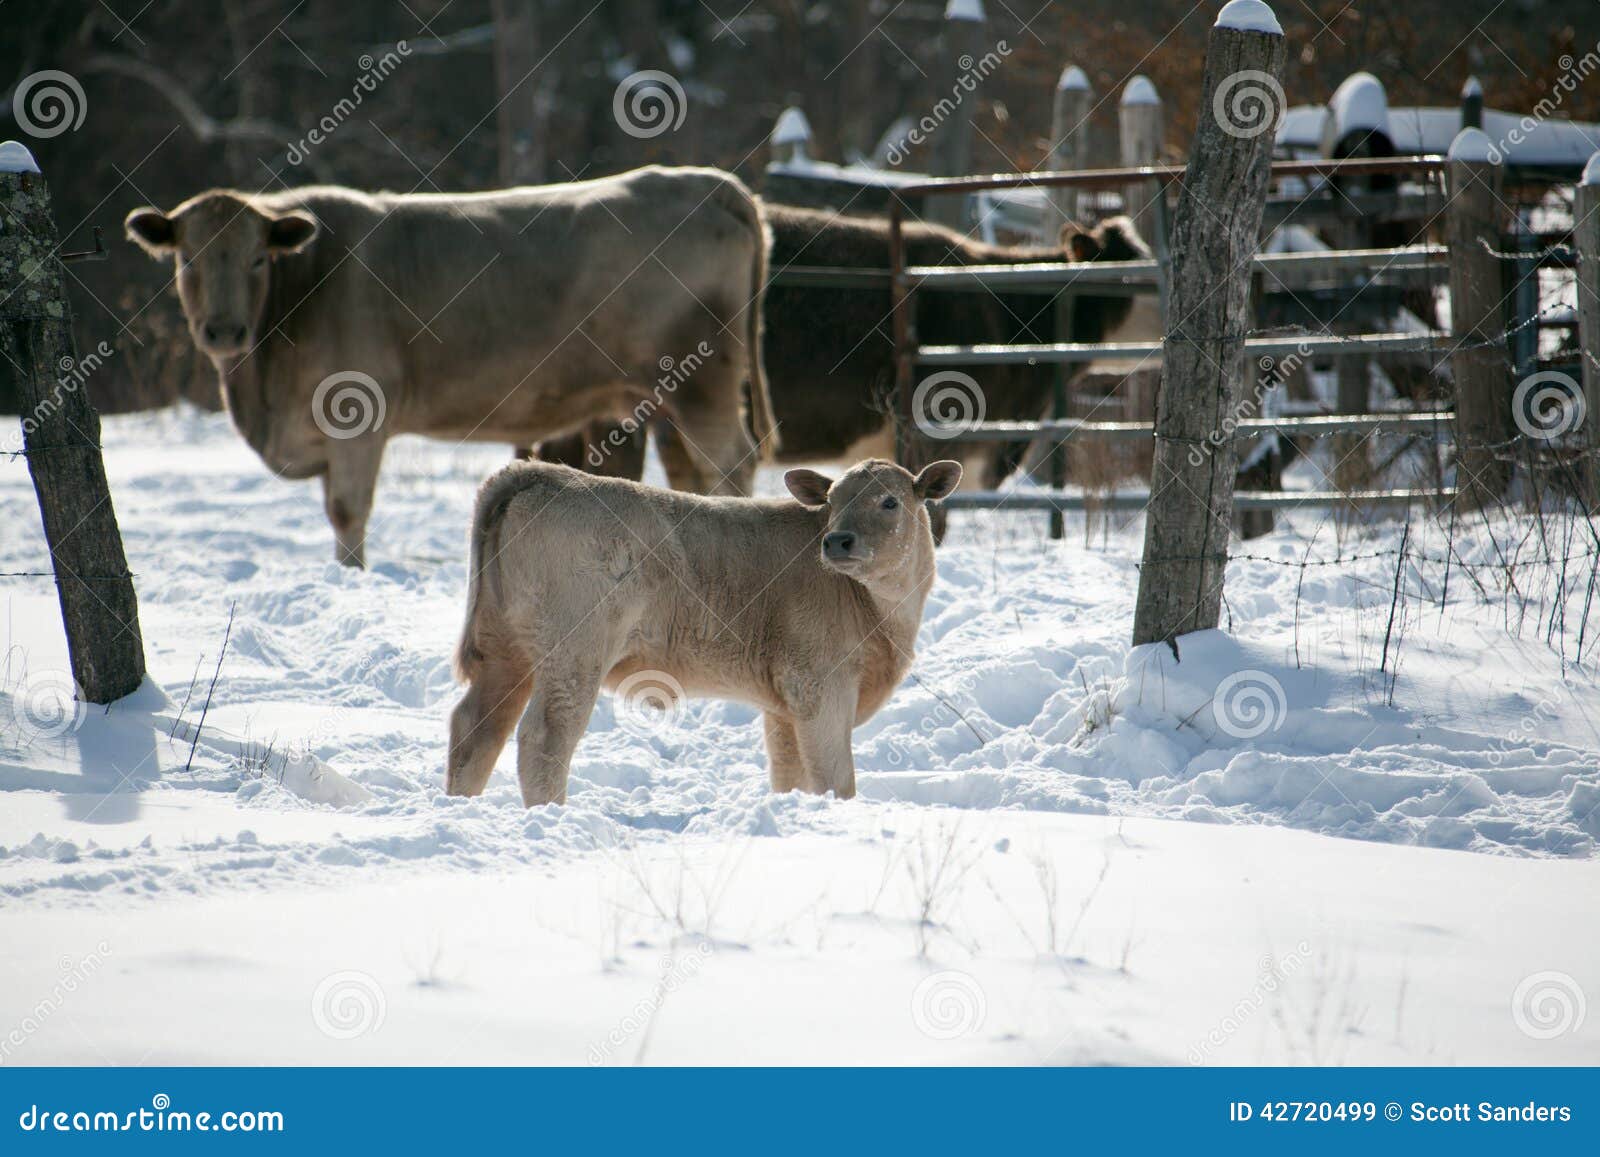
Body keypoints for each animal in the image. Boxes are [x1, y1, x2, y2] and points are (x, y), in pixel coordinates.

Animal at [125, 166, 777, 567]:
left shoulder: (357, 418)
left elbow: (347, 511)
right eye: (187, 258)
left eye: (257, 259)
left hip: (702, 382)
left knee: (731, 463)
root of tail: (713, 184)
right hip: (668, 396)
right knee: (692, 475)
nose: (224, 330)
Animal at [445, 456, 962, 806]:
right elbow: (836, 779)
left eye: (890, 501)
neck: (883, 614)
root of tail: (546, 473)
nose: (836, 540)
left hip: (506, 650)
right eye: (832, 503)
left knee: (476, 727)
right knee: (544, 735)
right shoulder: (821, 686)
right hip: (575, 651)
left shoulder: (783, 707)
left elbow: (790, 775)